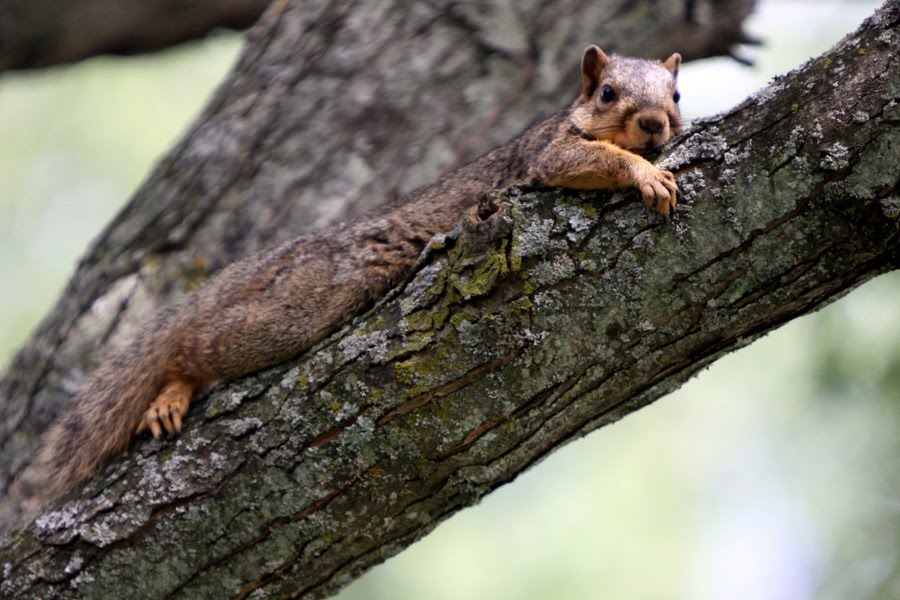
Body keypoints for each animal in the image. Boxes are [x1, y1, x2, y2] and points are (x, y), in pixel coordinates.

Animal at [10, 46, 682, 513]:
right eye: (608, 92)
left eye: (676, 91)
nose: (656, 124)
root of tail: (310, 246)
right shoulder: (547, 153)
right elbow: (587, 160)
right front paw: (643, 173)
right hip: (305, 302)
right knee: (199, 345)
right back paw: (175, 386)